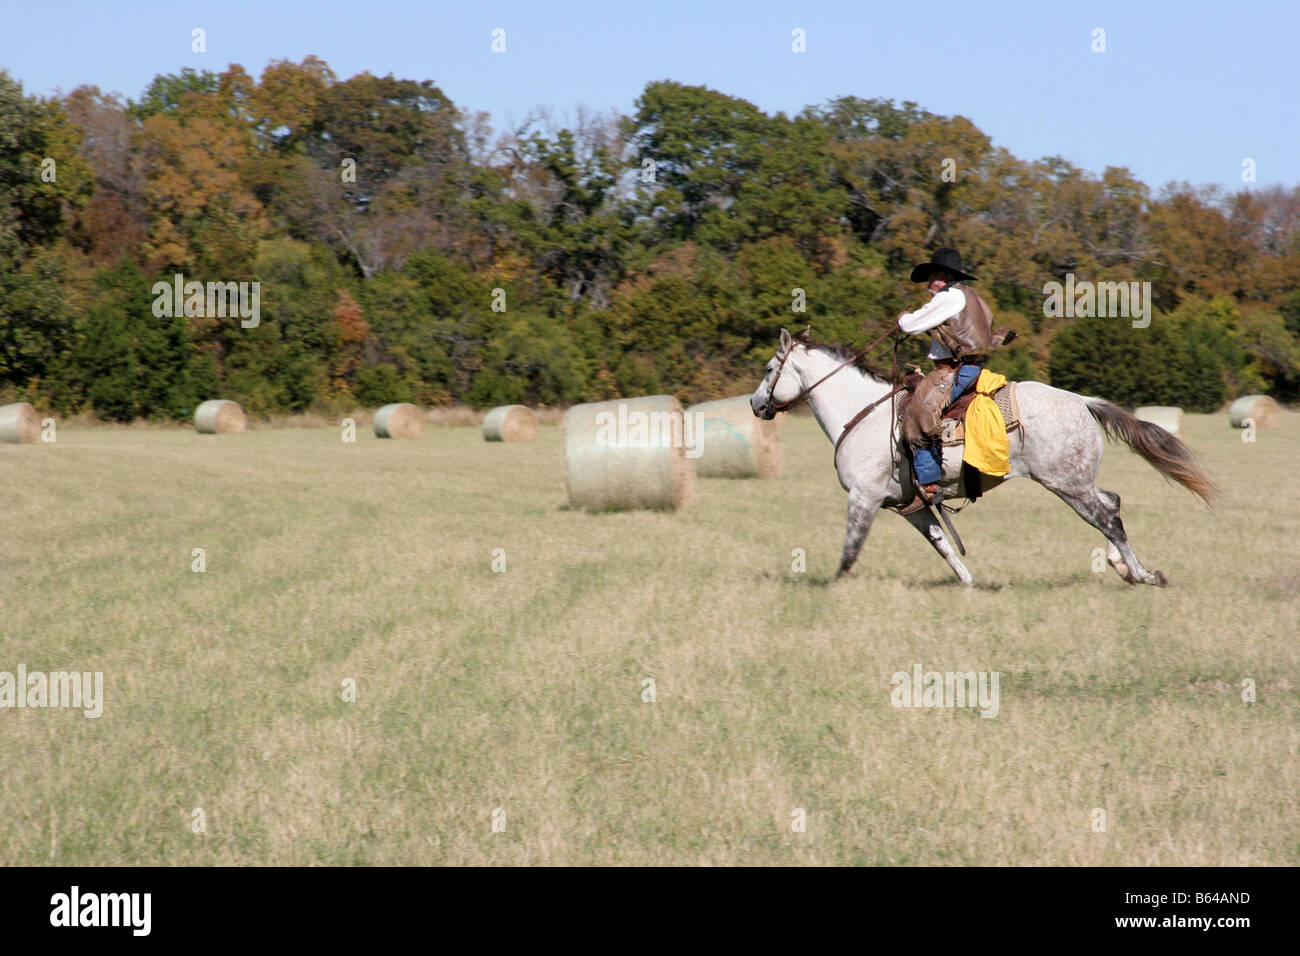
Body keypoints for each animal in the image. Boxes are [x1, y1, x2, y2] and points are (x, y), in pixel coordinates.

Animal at [750, 328, 1217, 586]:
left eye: (771, 368)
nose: (756, 404)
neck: (861, 411)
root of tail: (1083, 402)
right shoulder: (908, 507)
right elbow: (943, 548)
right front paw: (970, 585)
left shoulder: (862, 498)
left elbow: (849, 551)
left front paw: (832, 588)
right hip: (1078, 481)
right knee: (1113, 503)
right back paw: (1124, 567)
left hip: (1066, 484)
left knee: (1107, 518)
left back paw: (1144, 575)